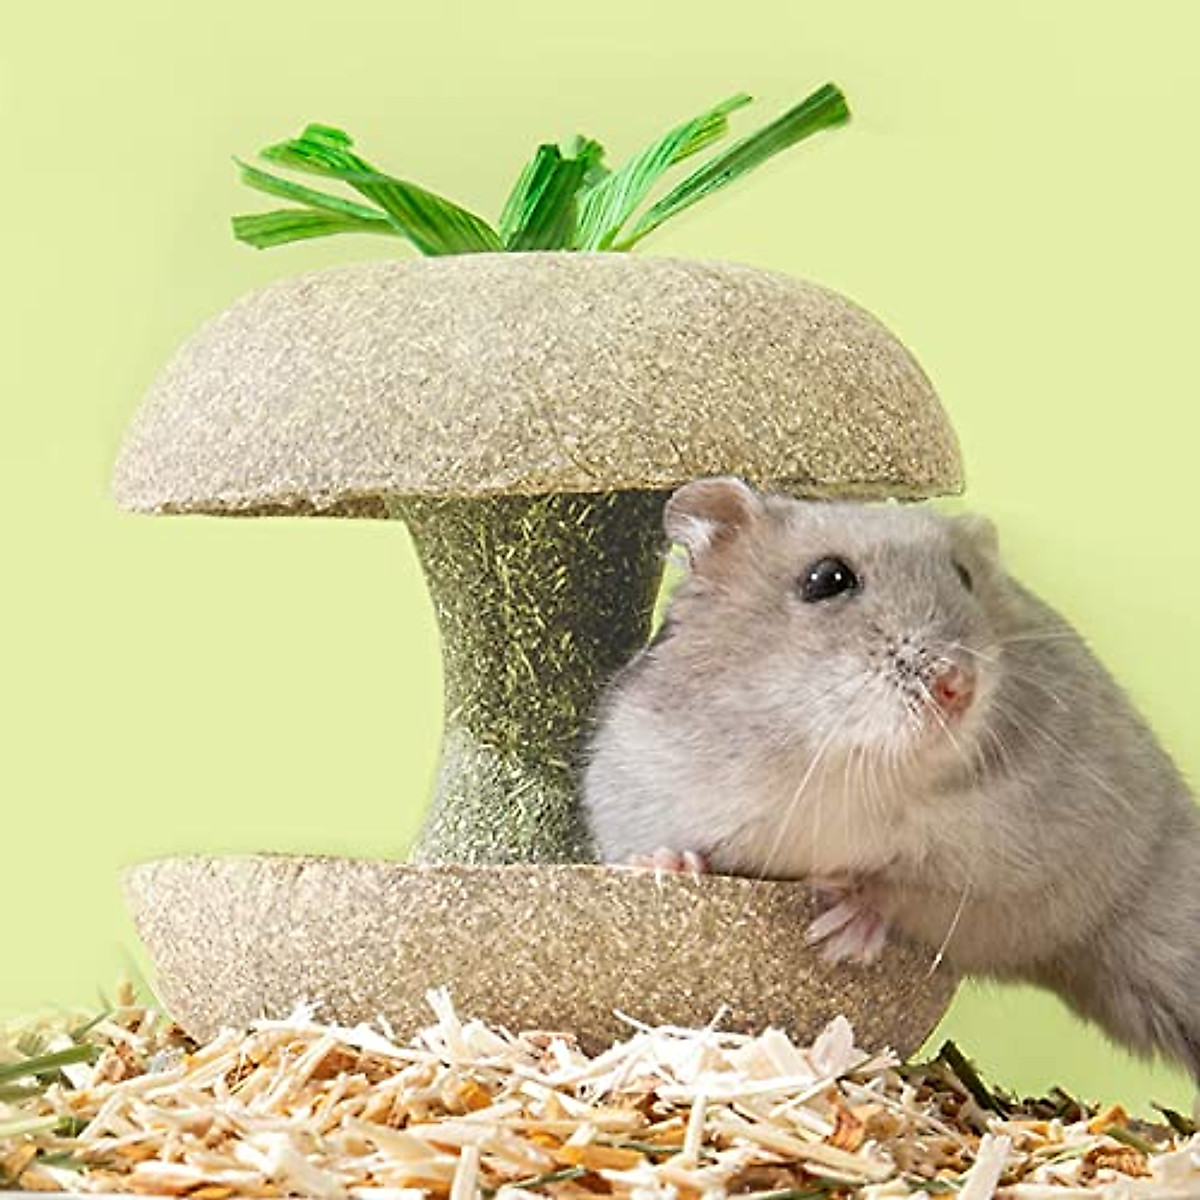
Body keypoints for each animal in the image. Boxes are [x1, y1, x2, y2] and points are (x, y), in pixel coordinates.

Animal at [583, 476, 1200, 1078]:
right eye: (827, 579)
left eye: (965, 578)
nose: (958, 685)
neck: (840, 762)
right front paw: (664, 866)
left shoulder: (1025, 875)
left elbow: (914, 892)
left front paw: (838, 930)